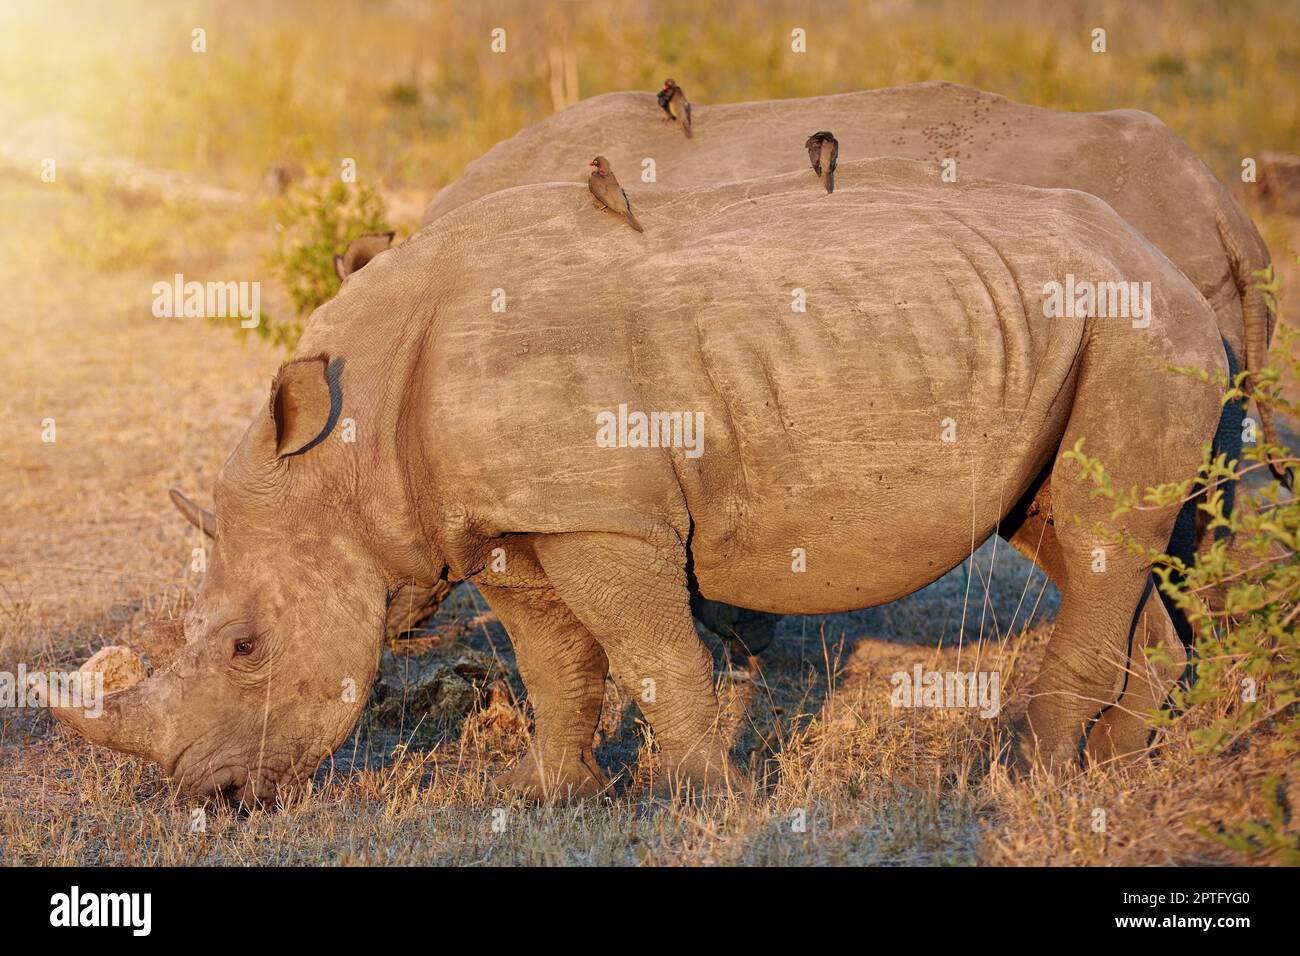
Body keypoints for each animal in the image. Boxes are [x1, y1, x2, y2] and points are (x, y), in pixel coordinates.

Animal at [56, 158, 1234, 804]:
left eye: (246, 649)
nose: (211, 795)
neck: (350, 451)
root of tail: (1172, 264)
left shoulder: (598, 516)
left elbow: (654, 653)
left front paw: (703, 802)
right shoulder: (511, 519)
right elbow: (556, 665)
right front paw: (549, 795)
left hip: (1139, 331)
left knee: (1102, 541)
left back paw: (1027, 779)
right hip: (1105, 332)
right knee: (1092, 542)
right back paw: (1117, 768)